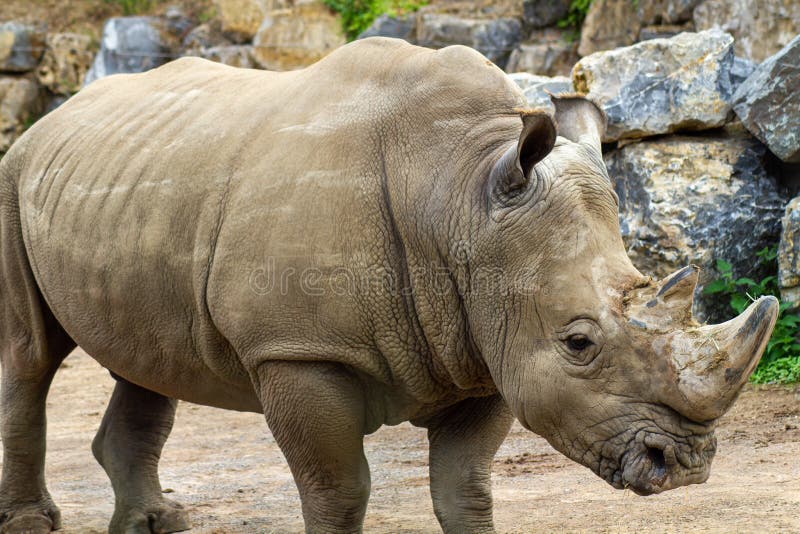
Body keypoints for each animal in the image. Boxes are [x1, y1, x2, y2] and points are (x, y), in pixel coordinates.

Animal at [0, 37, 778, 533]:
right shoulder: (298, 349)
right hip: (14, 172)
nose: (685, 465)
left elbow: (465, 489)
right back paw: (36, 522)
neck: (459, 192)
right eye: (579, 342)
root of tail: (55, 117)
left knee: (146, 359)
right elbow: (339, 491)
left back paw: (158, 523)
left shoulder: (485, 340)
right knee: (32, 357)